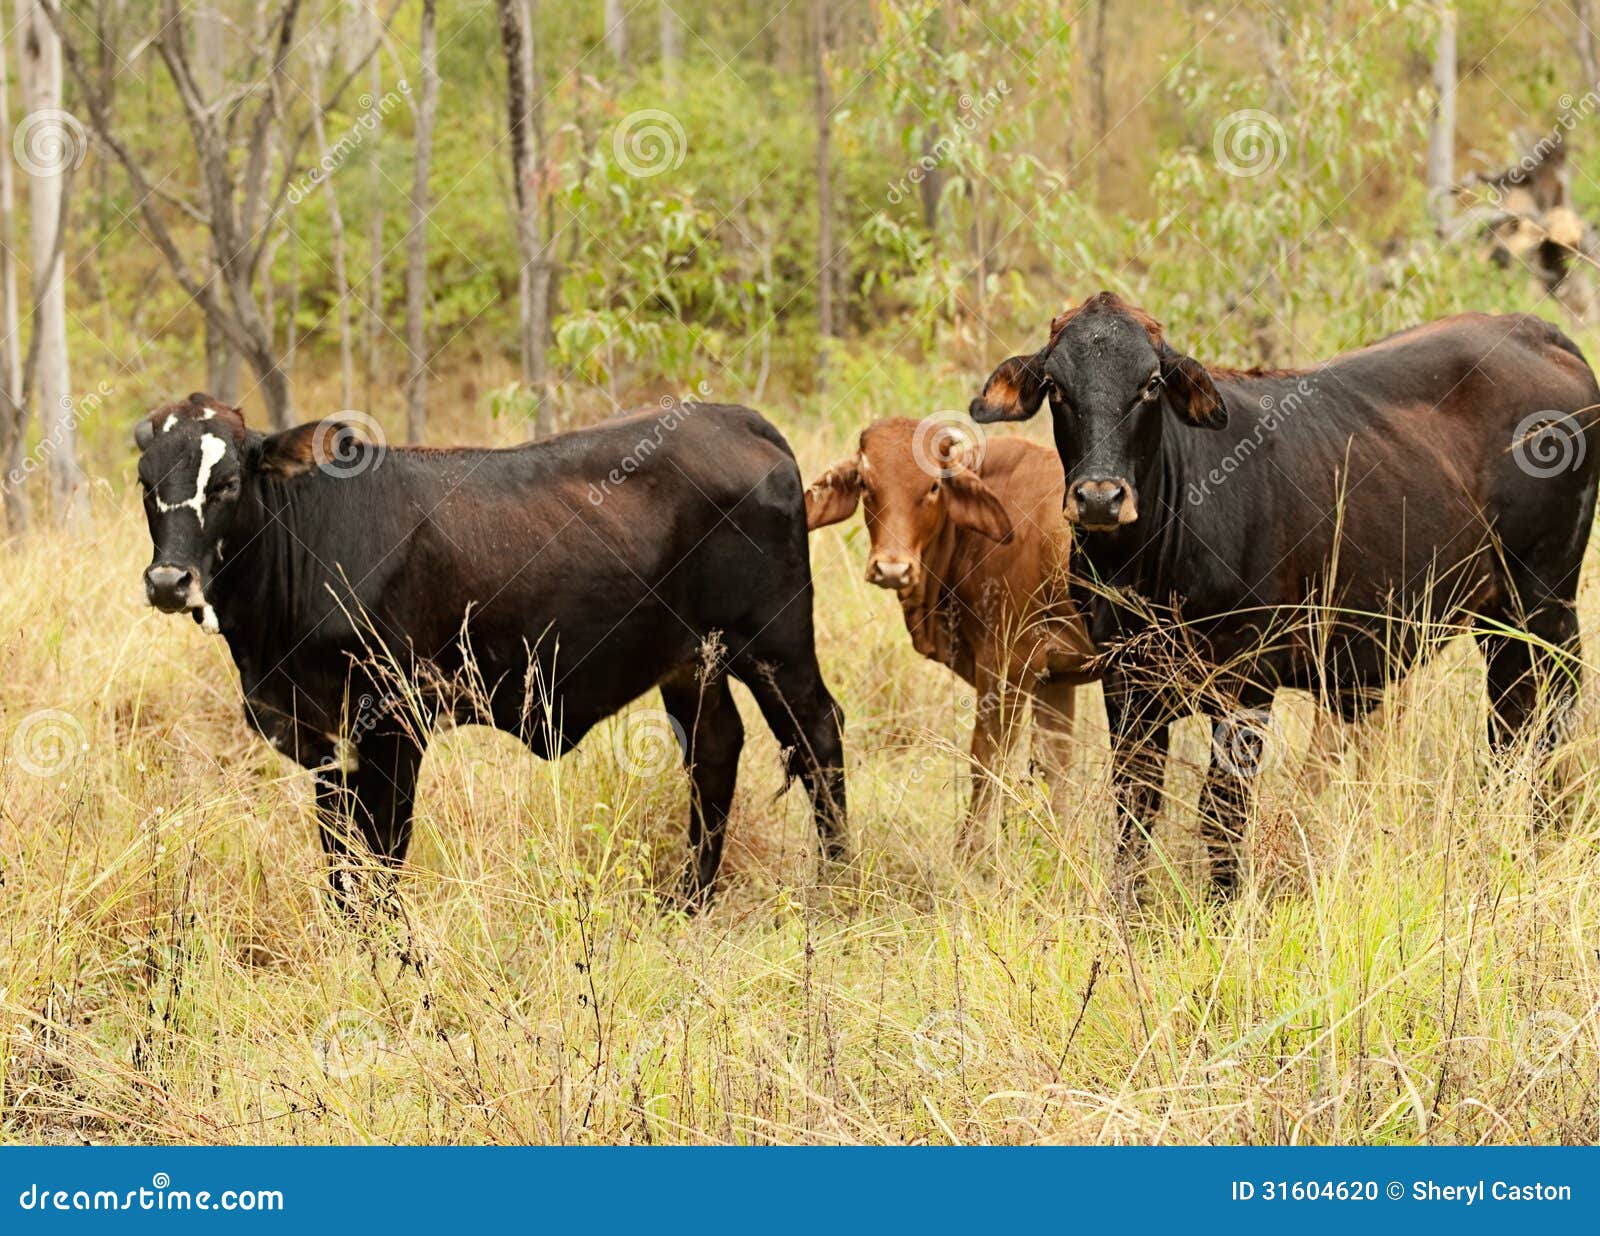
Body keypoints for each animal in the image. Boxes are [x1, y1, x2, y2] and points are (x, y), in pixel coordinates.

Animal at [133, 393, 847, 910]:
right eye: (145, 482)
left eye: (228, 482)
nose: (169, 581)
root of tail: (735, 417)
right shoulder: (325, 735)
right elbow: (340, 857)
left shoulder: (394, 722)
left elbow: (383, 852)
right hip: (691, 658)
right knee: (714, 749)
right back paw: (690, 899)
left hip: (776, 642)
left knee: (817, 737)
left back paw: (836, 884)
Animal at [803, 418, 1095, 854]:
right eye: (866, 483)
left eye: (933, 487)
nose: (892, 569)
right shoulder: (1056, 678)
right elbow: (1055, 771)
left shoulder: (1008, 664)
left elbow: (986, 762)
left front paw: (970, 854)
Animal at [971, 292, 1600, 897]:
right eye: (1056, 386)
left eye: (1150, 383)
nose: (1100, 498)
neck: (1144, 565)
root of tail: (1538, 331)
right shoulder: (1127, 683)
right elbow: (1135, 807)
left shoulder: (1247, 680)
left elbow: (1221, 811)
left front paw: (1223, 911)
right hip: (1498, 620)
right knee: (1510, 728)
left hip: (1543, 603)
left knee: (1544, 719)